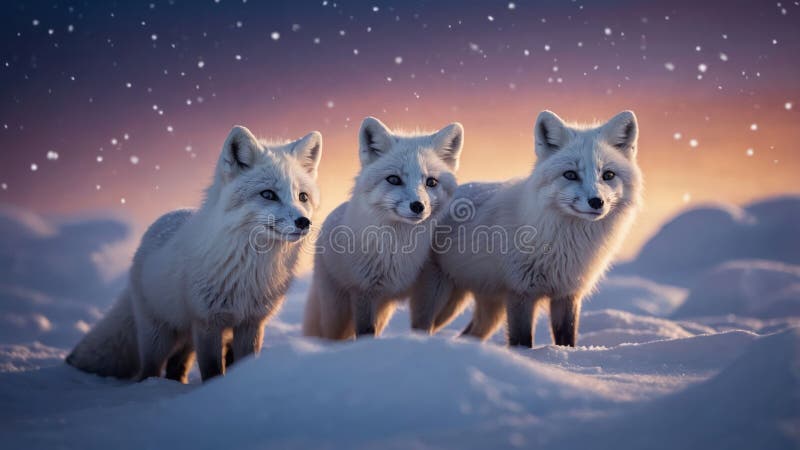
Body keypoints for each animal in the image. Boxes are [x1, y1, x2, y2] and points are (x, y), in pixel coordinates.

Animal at [66, 125, 322, 381]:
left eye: (303, 197)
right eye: (268, 194)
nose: (304, 222)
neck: (249, 269)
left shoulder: (251, 323)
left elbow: (243, 362)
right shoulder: (207, 322)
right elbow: (212, 369)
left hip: (188, 340)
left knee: (176, 368)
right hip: (159, 336)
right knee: (149, 370)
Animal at [302, 116, 463, 339]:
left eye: (431, 182)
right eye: (394, 179)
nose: (418, 206)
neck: (401, 253)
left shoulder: (430, 288)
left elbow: (423, 327)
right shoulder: (364, 290)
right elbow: (365, 332)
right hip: (336, 310)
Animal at [409, 110, 642, 347]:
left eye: (608, 175)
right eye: (570, 174)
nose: (596, 202)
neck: (564, 244)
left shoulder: (567, 294)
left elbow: (567, 339)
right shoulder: (520, 292)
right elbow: (522, 340)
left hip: (487, 309)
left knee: (468, 334)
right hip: (439, 298)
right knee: (420, 328)